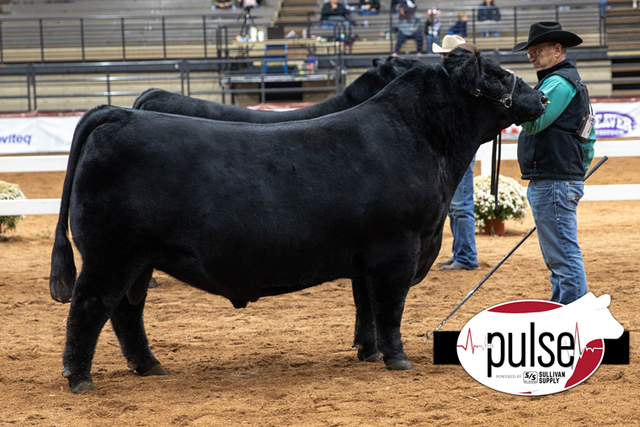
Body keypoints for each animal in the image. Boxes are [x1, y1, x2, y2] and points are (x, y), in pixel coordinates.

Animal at [50, 47, 547, 393]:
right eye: (496, 74)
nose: (541, 96)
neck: (421, 139)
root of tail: (117, 113)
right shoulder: (397, 248)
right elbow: (389, 307)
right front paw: (397, 358)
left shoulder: (366, 255)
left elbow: (364, 305)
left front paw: (367, 352)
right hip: (110, 255)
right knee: (89, 307)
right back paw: (79, 378)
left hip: (138, 259)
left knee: (125, 313)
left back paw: (149, 366)